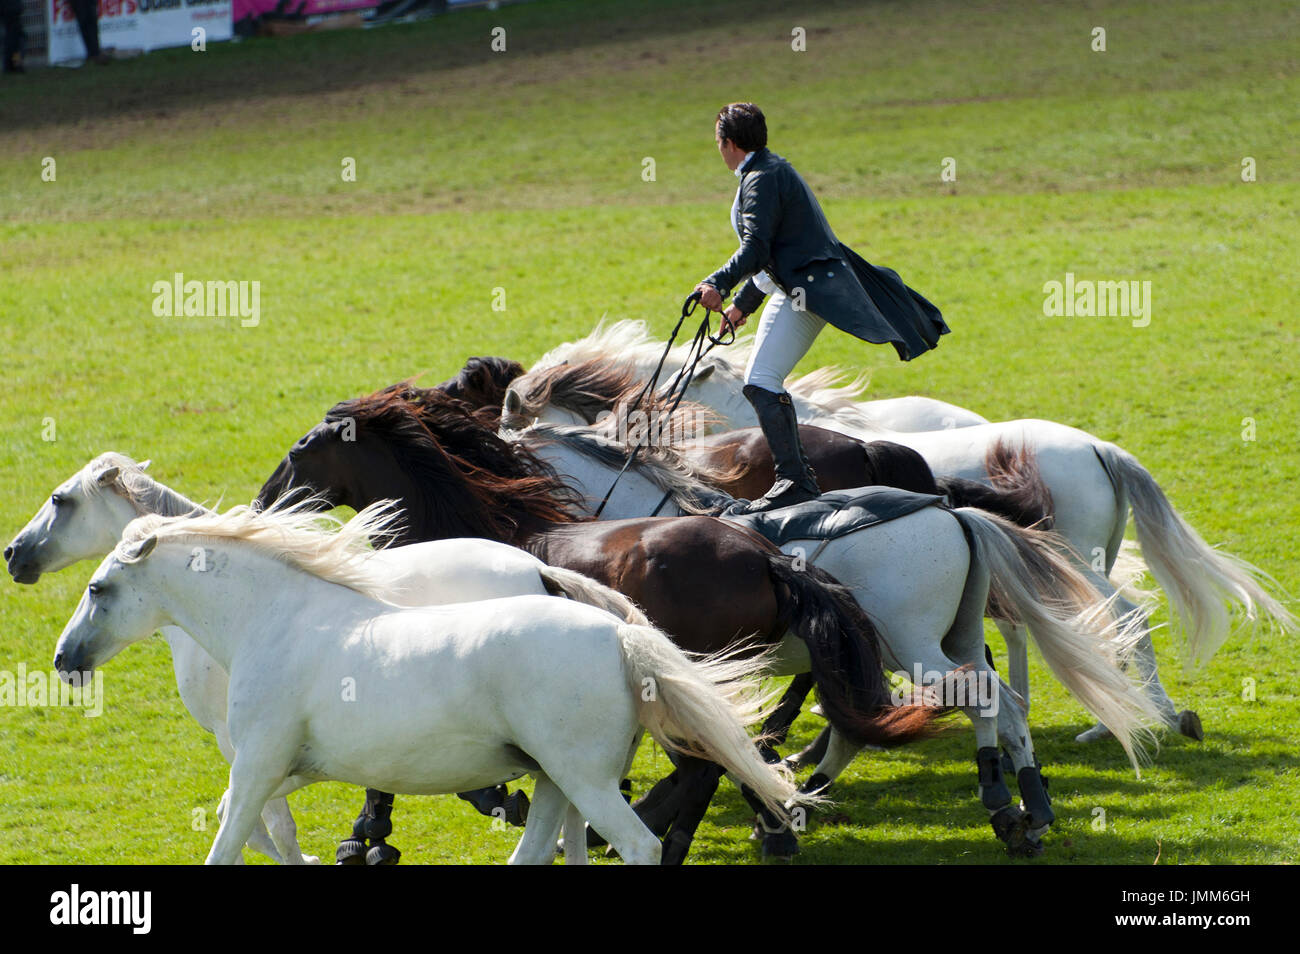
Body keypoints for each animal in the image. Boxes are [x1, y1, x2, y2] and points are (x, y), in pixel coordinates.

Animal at [52, 501, 806, 865]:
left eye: (97, 588)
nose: (64, 659)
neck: (274, 619)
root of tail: (619, 638)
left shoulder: (259, 761)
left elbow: (231, 839)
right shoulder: (285, 768)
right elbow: (260, 830)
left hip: (583, 780)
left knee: (640, 844)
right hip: (557, 780)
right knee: (544, 852)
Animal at [258, 383, 1160, 856]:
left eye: (304, 448)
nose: (269, 500)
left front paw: (373, 833)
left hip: (908, 643)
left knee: (972, 700)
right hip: (942, 635)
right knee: (986, 700)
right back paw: (1015, 802)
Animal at [502, 331, 1296, 743]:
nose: (508, 408)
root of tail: (1100, 447)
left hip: (1078, 564)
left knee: (1123, 614)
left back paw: (1146, 718)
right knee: (1073, 625)